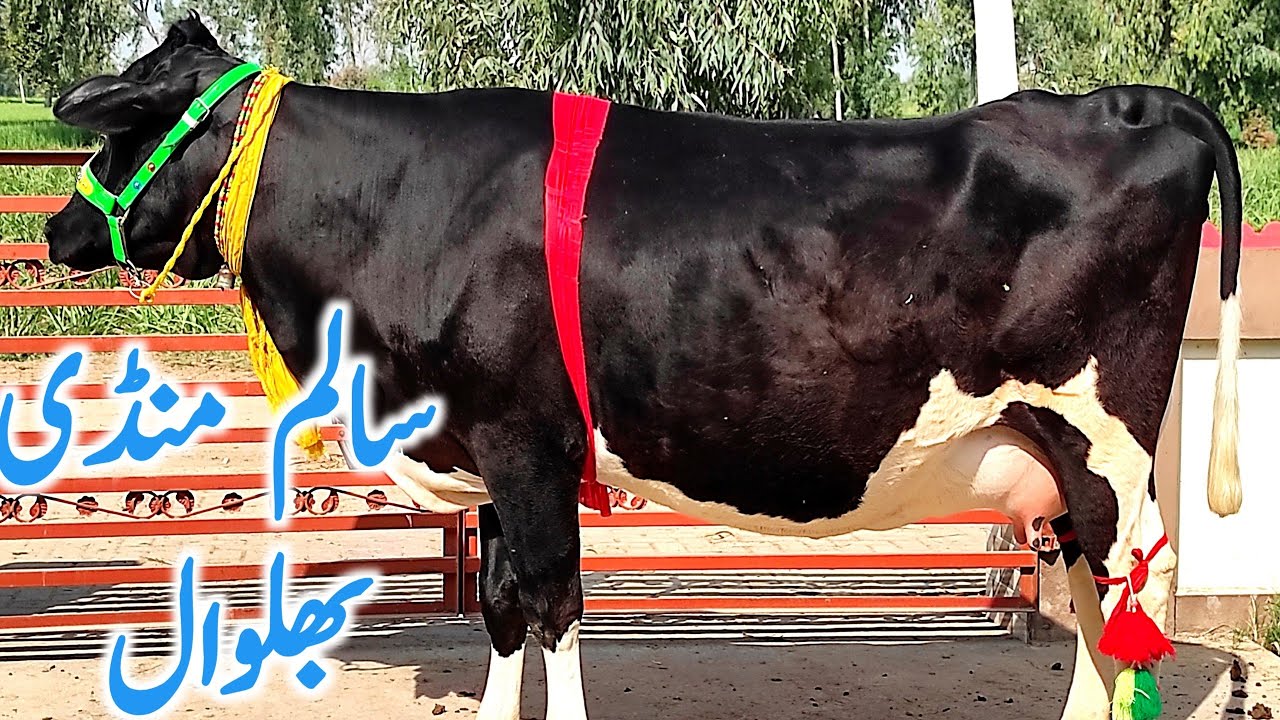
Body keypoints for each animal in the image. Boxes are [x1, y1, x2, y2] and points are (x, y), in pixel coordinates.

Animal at [43, 15, 1244, 720]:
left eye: (126, 131)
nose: (56, 228)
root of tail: (1127, 99)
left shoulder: (525, 440)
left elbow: (553, 607)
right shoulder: (493, 452)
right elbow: (499, 609)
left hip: (1104, 442)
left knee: (1134, 603)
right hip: (1056, 462)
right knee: (1096, 609)